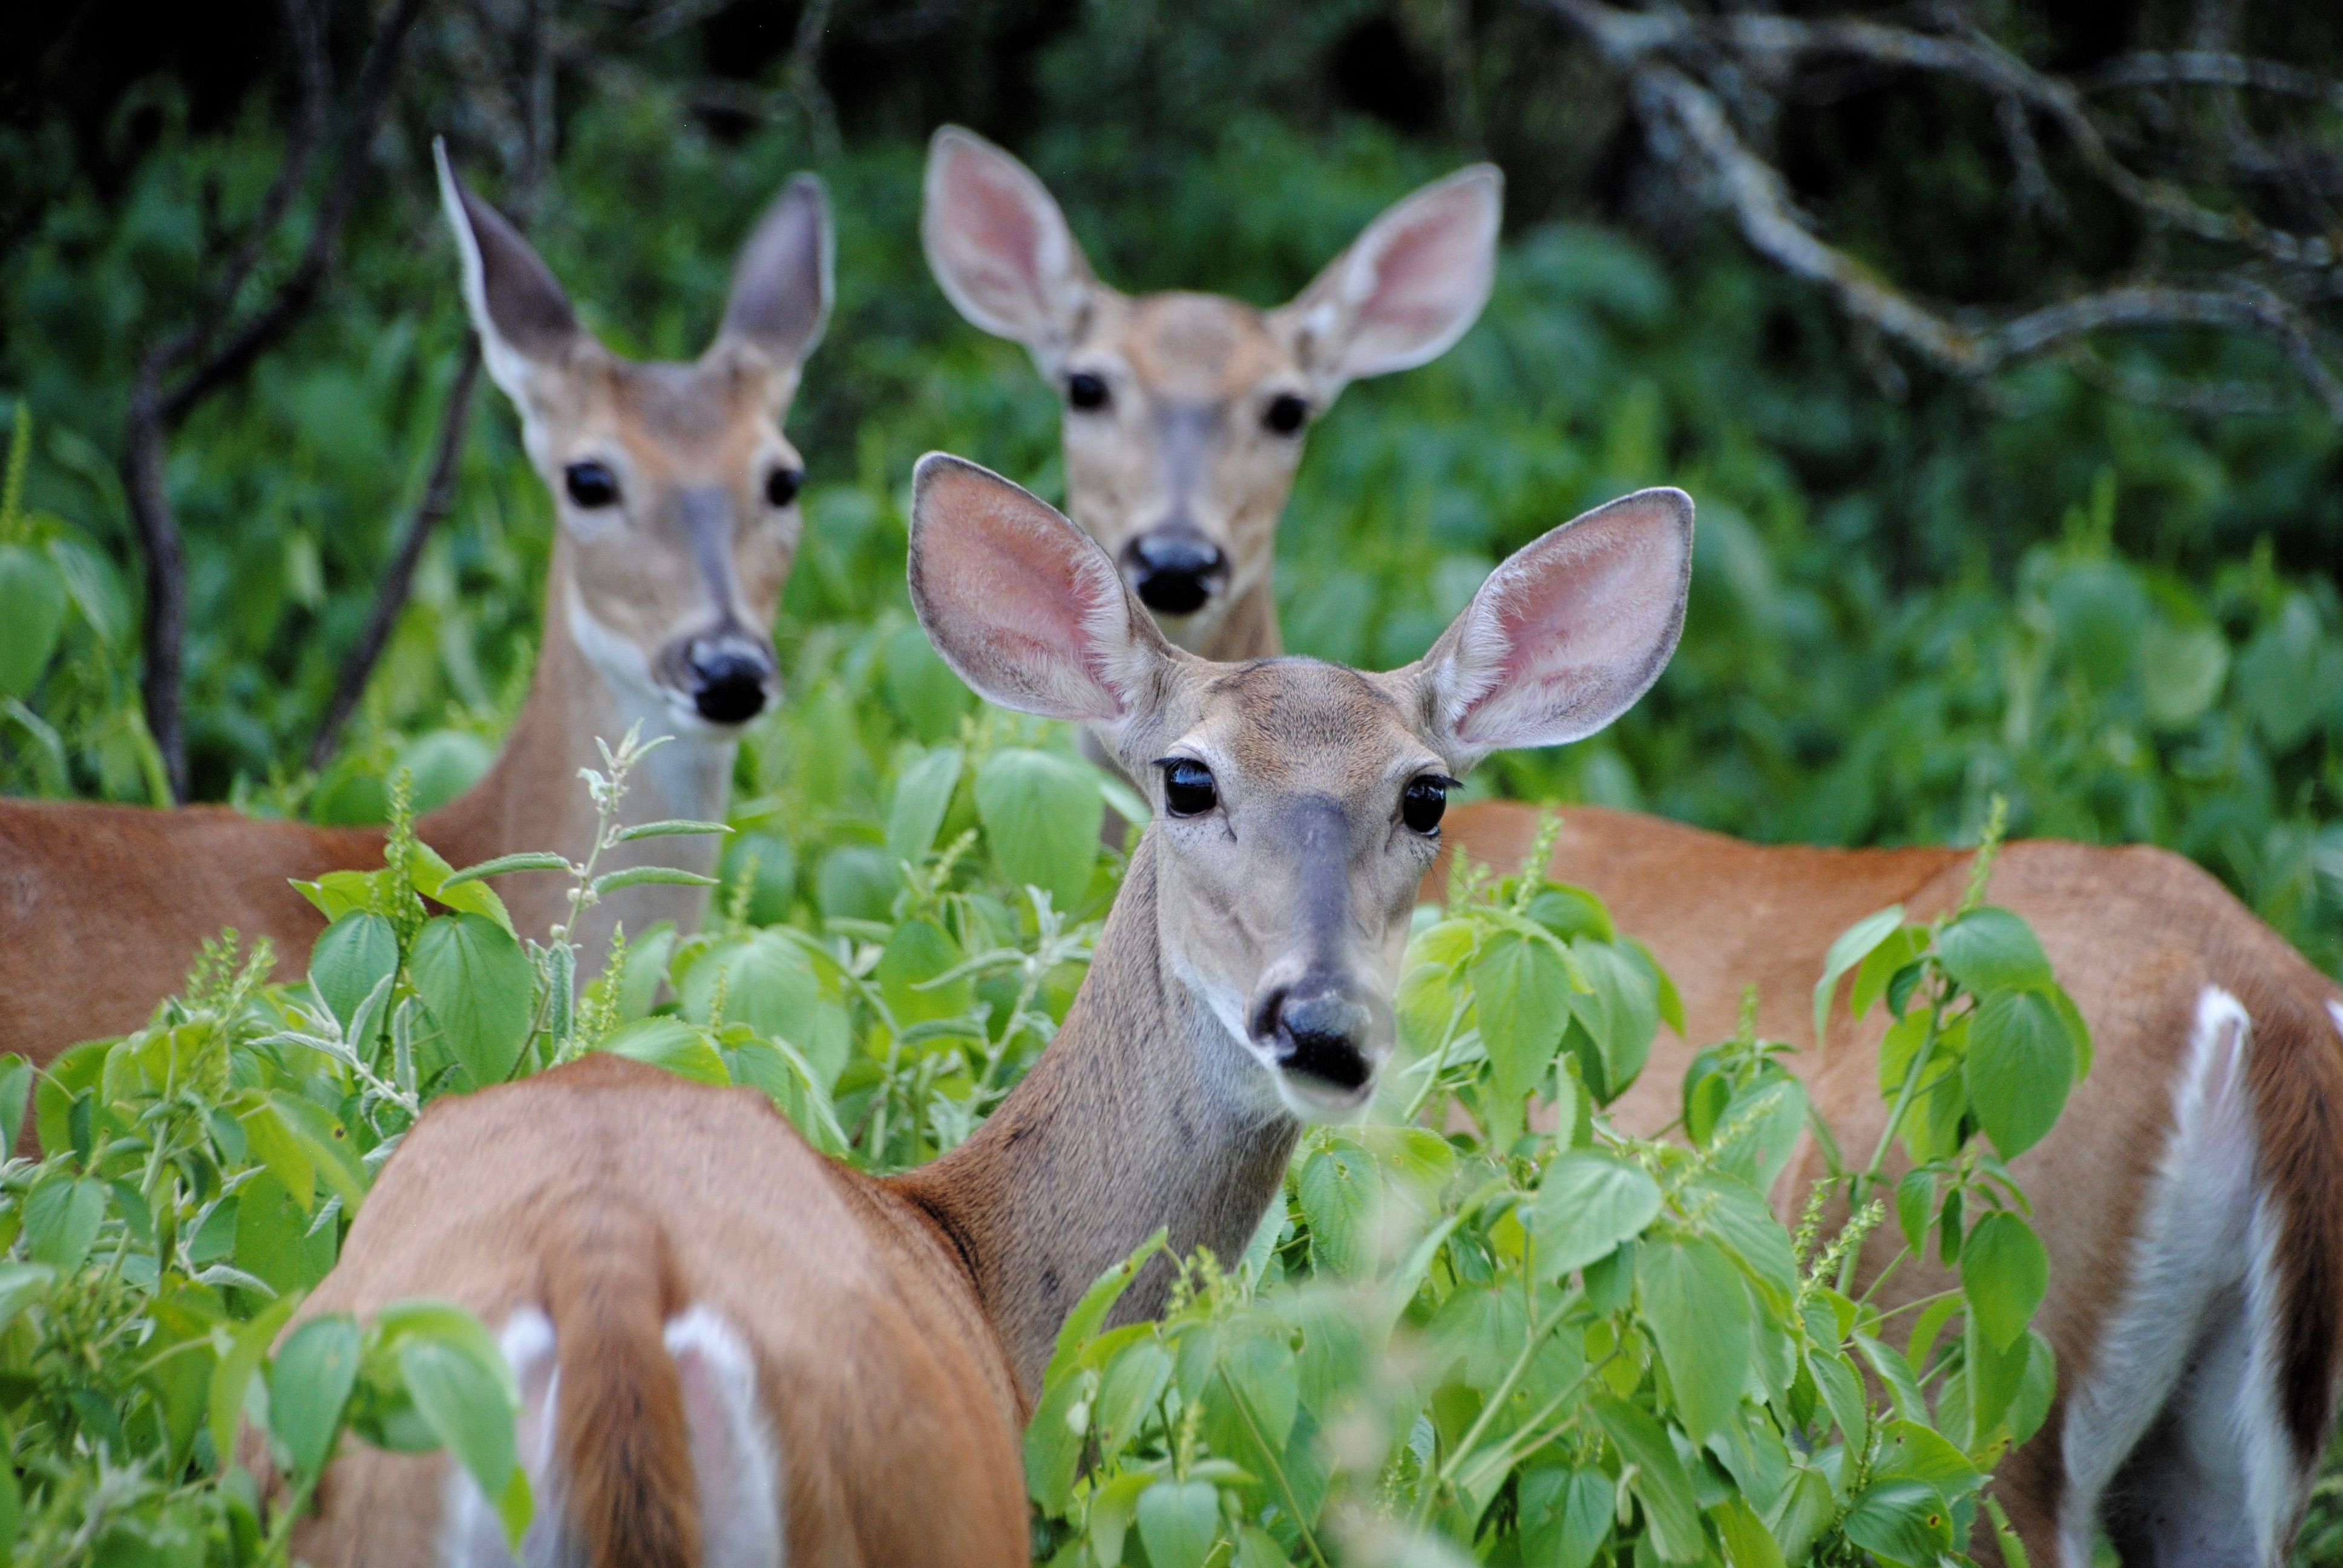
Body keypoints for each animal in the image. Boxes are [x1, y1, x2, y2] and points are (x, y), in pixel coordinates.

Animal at [922, 130, 2343, 1565]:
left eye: (1286, 407)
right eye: (1086, 382)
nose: (1172, 558)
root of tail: (2261, 1007)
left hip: (1968, 1349)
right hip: (2226, 1454)